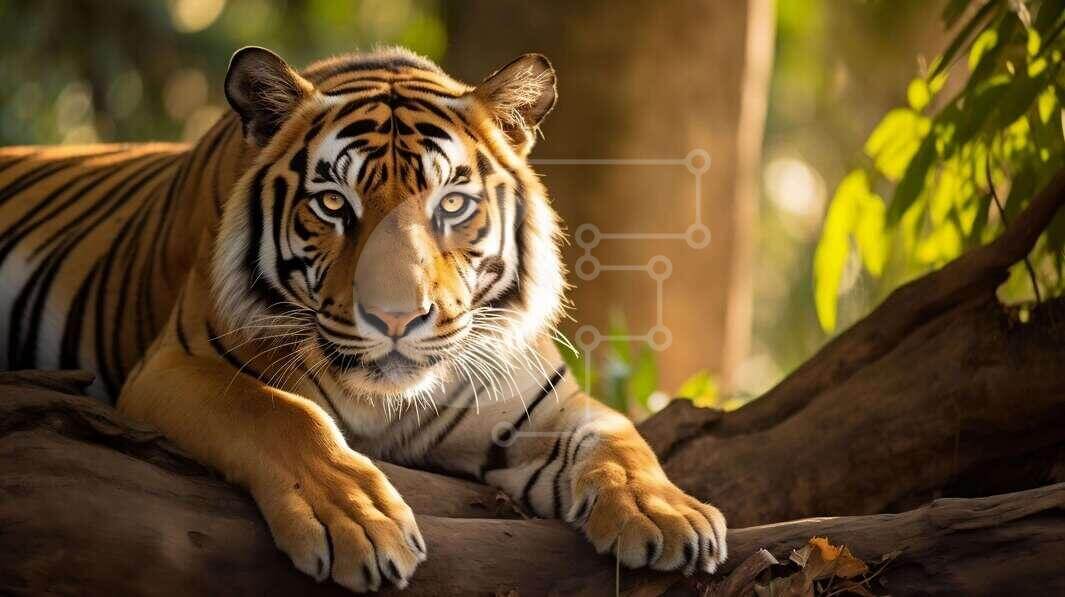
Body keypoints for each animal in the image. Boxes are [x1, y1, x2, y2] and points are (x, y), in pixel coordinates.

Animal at [0, 47, 726, 592]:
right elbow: (282, 414)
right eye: (332, 204)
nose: (396, 317)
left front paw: (669, 513)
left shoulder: (541, 405)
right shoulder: (179, 364)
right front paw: (356, 521)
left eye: (451, 204)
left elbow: (620, 435)